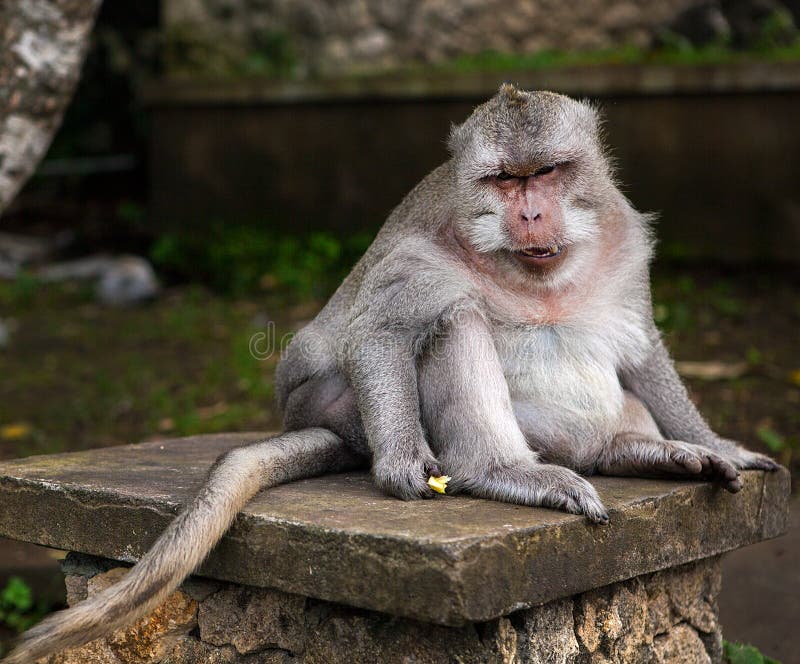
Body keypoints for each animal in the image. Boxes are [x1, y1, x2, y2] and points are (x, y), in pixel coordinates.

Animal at [5, 84, 780, 663]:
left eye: (546, 173)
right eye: (505, 181)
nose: (531, 212)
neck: (537, 273)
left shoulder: (622, 231)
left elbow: (642, 347)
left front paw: (718, 443)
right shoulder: (423, 250)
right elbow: (382, 331)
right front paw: (405, 461)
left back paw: (640, 452)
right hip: (354, 403)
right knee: (453, 321)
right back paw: (504, 470)